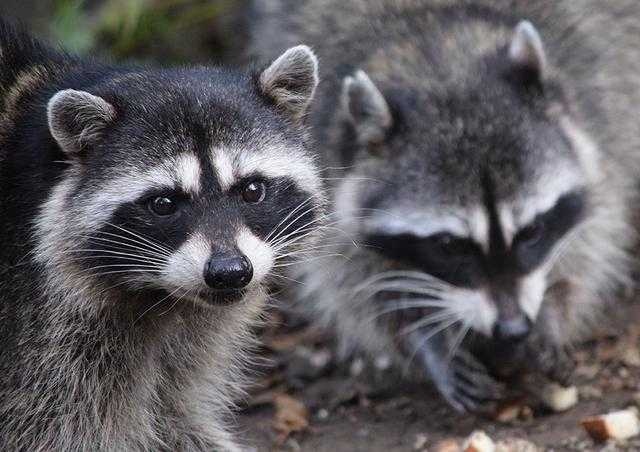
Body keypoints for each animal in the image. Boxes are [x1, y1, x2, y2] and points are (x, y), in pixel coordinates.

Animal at [0, 21, 324, 450]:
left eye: (253, 190)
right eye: (164, 203)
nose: (229, 272)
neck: (158, 296)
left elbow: (173, 416)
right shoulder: (40, 334)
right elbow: (58, 429)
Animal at [251, 0, 640, 412]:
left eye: (532, 231)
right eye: (450, 246)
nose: (513, 327)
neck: (439, 58)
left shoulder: (600, 119)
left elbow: (591, 233)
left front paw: (553, 308)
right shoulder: (327, 156)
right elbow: (351, 274)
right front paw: (422, 336)